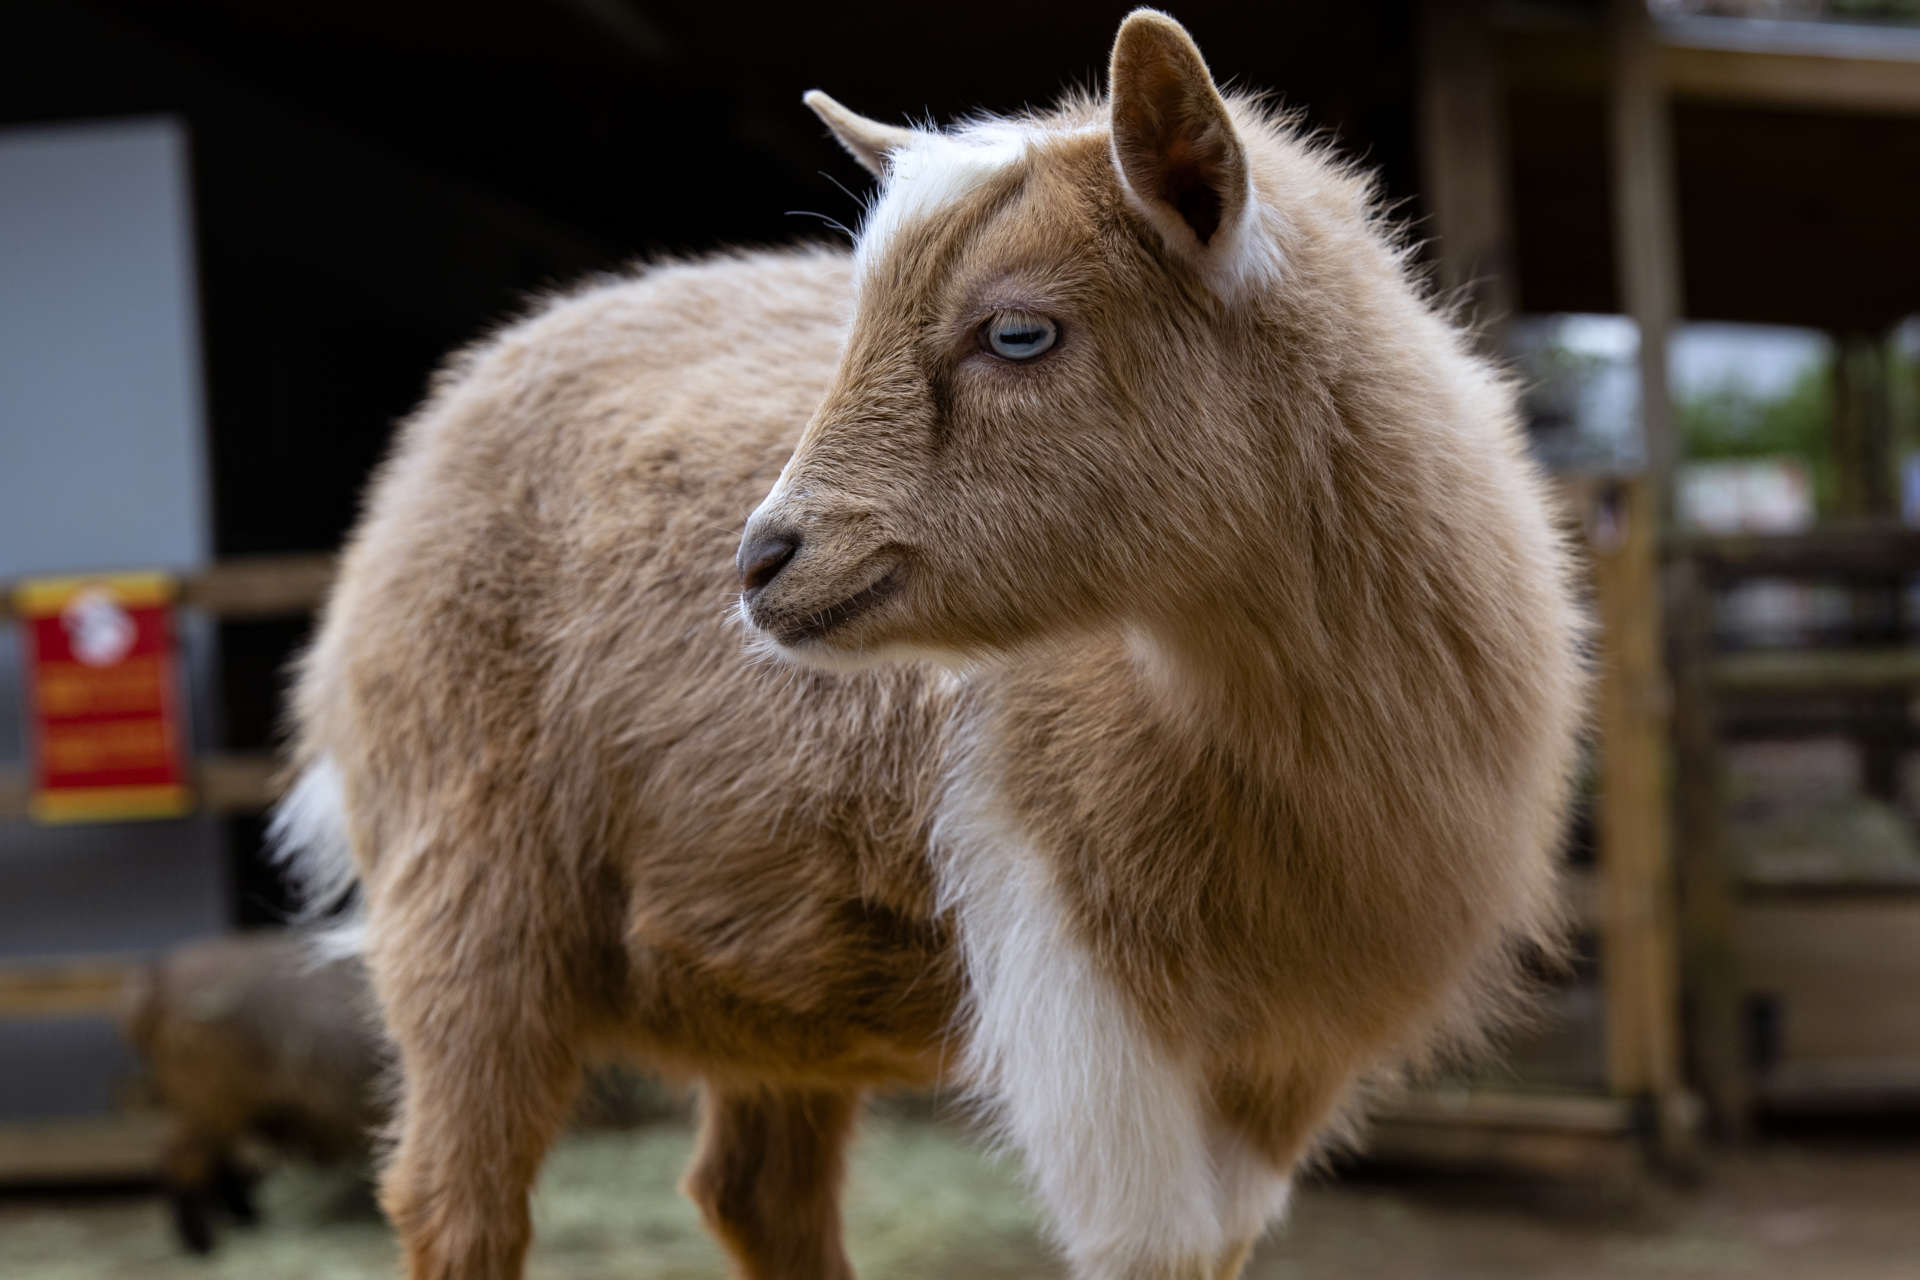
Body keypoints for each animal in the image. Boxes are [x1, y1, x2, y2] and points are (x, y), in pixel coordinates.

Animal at [275, 11, 1585, 1278]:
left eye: (1019, 332)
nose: (761, 559)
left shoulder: (1284, 1054)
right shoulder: (1092, 1014)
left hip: (761, 973)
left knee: (754, 1192)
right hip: (462, 875)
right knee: (457, 1199)